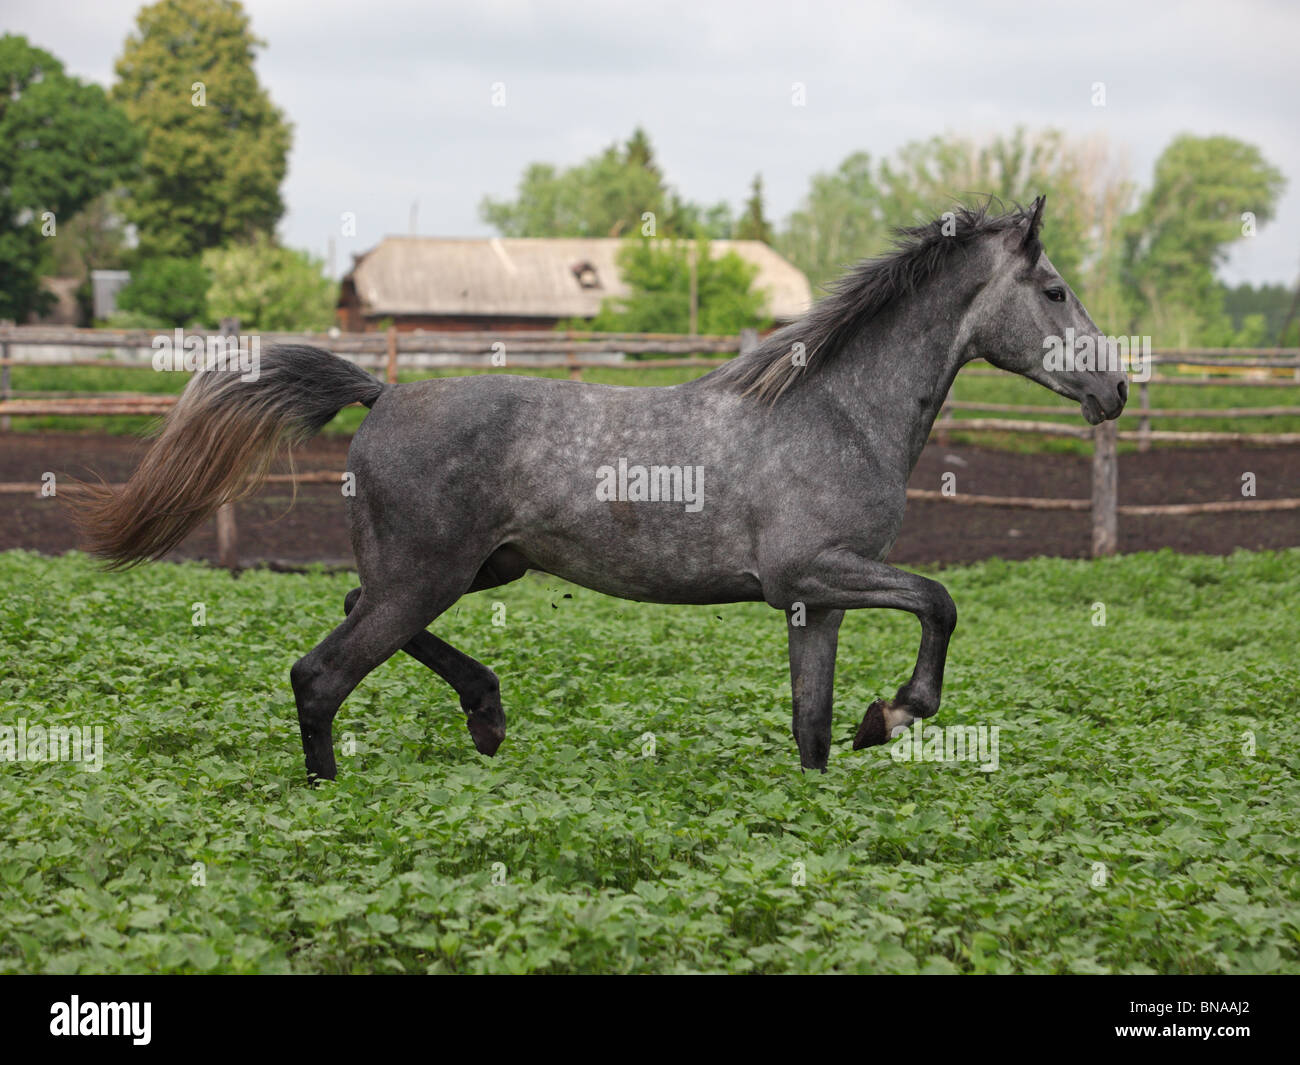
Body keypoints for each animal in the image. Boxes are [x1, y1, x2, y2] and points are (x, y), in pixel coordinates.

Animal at [73, 196, 1127, 782]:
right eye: (1054, 292)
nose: (1115, 388)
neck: (835, 409)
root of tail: (384, 392)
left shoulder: (812, 601)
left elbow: (812, 727)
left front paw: (854, 742)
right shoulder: (815, 570)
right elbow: (940, 603)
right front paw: (896, 714)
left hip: (473, 569)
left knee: (353, 616)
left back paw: (487, 714)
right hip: (431, 573)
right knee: (319, 673)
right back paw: (344, 789)